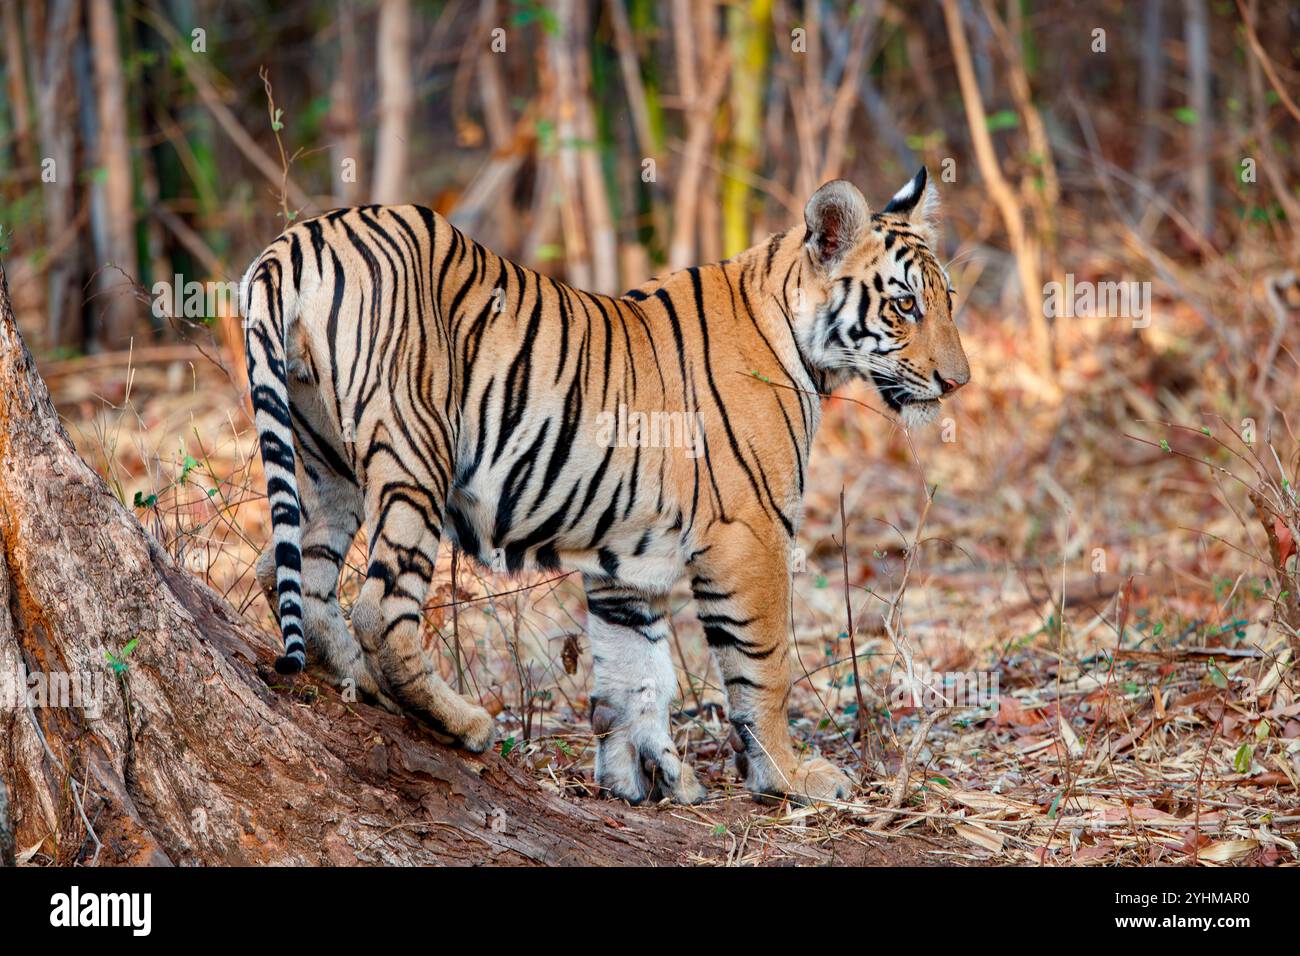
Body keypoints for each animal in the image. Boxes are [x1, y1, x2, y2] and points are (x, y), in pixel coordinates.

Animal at [240, 166, 969, 805]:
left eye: (948, 301)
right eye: (905, 305)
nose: (957, 381)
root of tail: (300, 239)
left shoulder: (628, 556)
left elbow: (634, 674)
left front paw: (641, 779)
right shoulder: (750, 535)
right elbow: (763, 668)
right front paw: (790, 777)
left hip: (325, 462)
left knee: (289, 572)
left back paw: (358, 681)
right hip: (415, 451)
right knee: (379, 607)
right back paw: (465, 721)